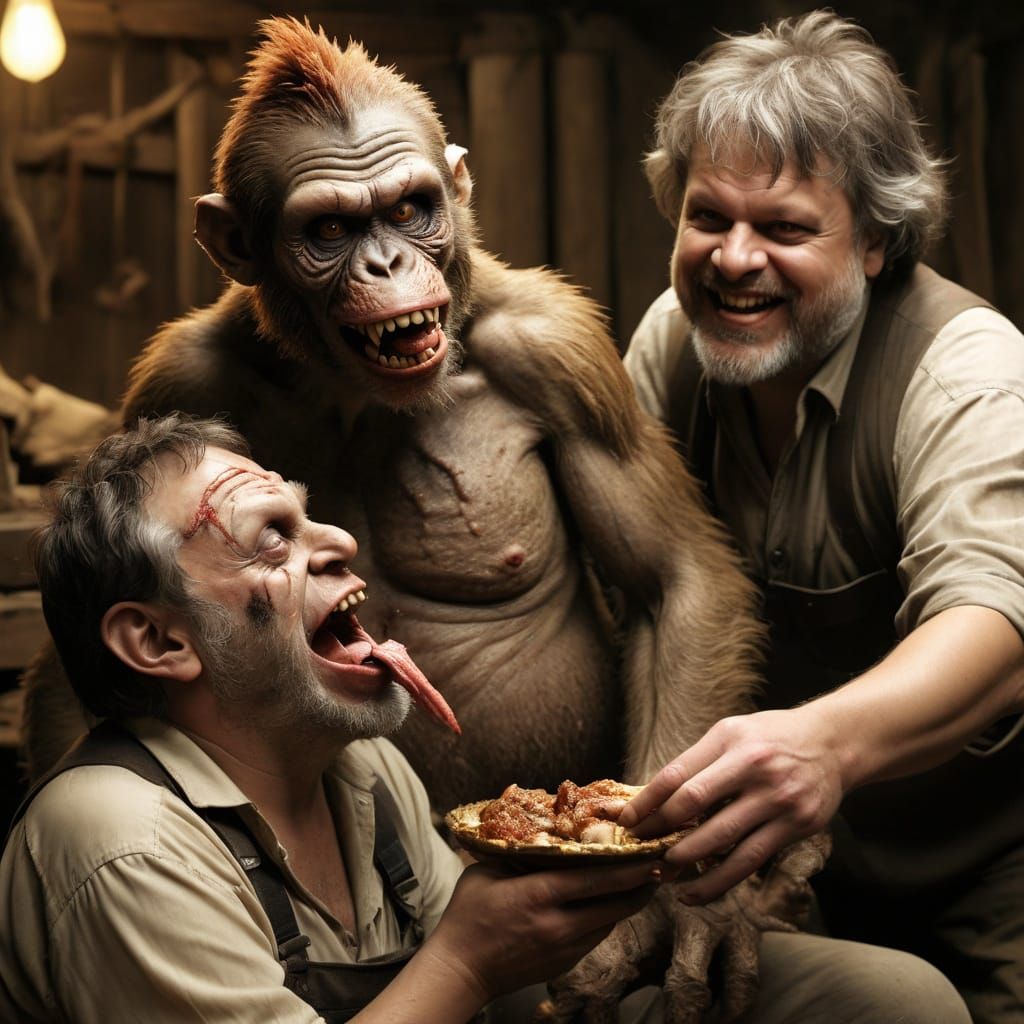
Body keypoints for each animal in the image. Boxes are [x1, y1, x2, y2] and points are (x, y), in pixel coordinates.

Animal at [22, 18, 826, 1021]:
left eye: (410, 209)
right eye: (329, 228)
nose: (384, 263)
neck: (352, 386)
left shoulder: (562, 350)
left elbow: (669, 578)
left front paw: (681, 914)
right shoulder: (178, 379)